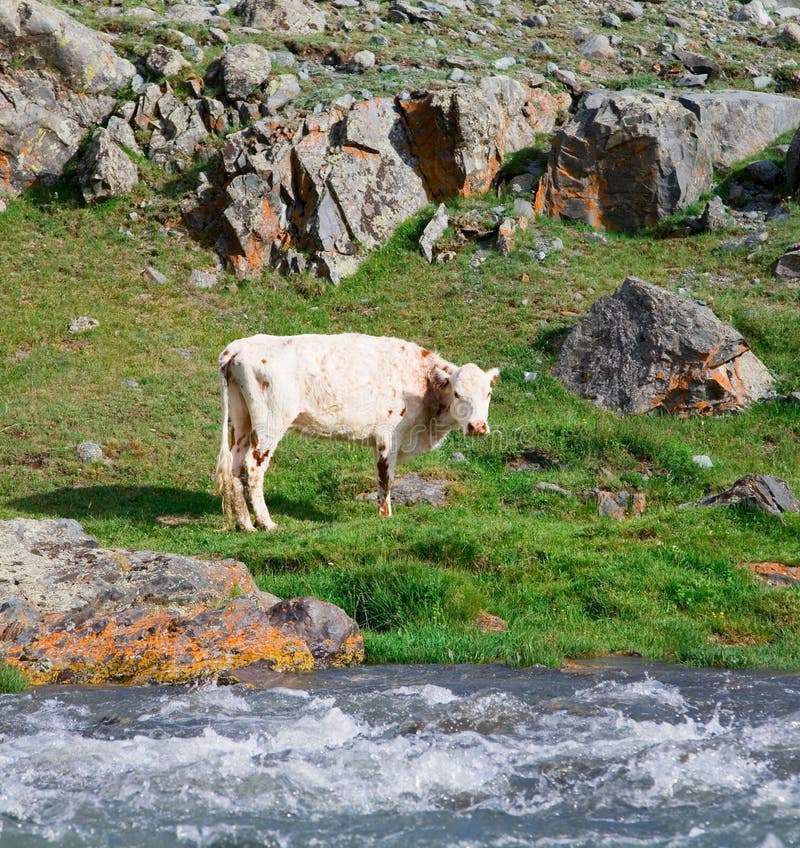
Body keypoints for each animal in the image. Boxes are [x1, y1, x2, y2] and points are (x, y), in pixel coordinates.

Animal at [214, 333, 499, 531]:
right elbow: (385, 479)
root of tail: (239, 346)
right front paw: (385, 517)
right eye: (457, 393)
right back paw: (267, 523)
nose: (477, 427)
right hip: (270, 422)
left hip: (242, 420)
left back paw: (245, 525)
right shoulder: (387, 435)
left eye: (488, 393)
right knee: (252, 467)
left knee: (235, 466)